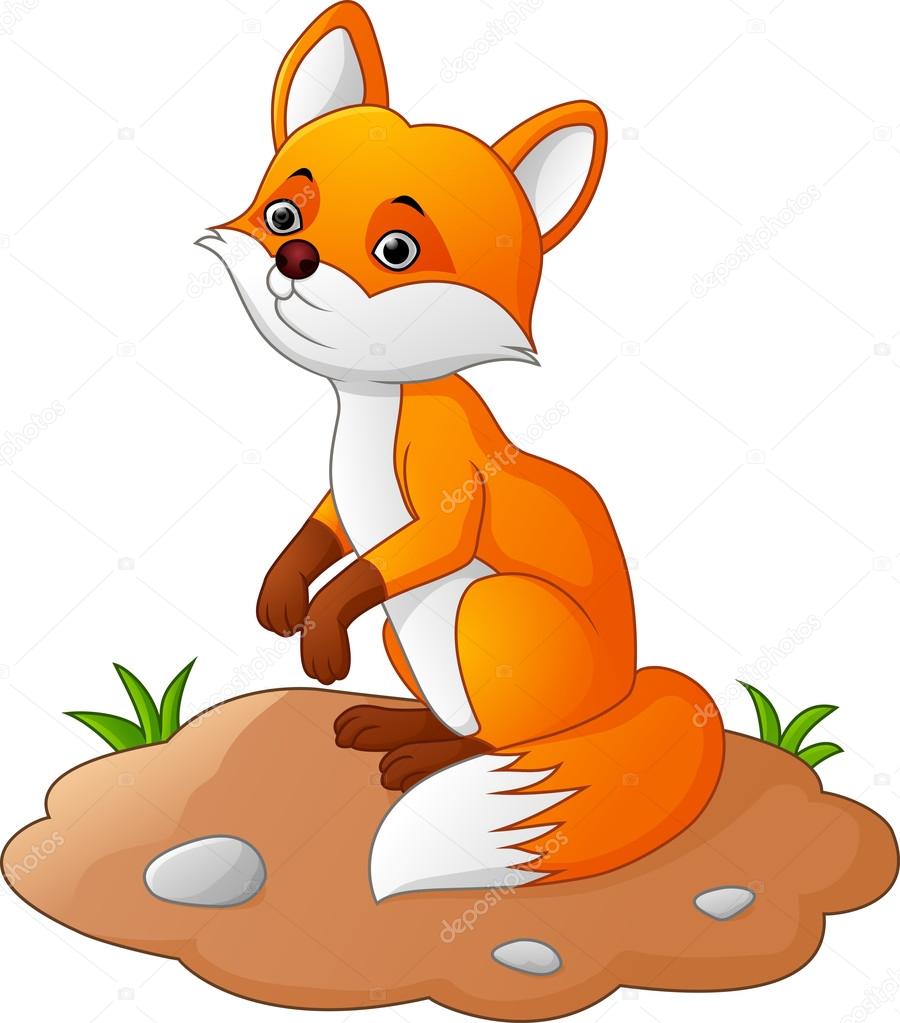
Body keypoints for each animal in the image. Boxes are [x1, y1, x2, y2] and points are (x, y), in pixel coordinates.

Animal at [198, 1, 725, 899]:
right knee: (464, 725)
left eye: (398, 250)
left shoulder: (444, 500)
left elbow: (381, 565)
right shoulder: (346, 505)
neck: (373, 408)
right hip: (400, 634)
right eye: (285, 214)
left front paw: (318, 630)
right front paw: (281, 592)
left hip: (482, 607)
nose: (294, 258)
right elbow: (320, 535)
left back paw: (418, 762)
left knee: (496, 744)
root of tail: (626, 693)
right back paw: (392, 728)